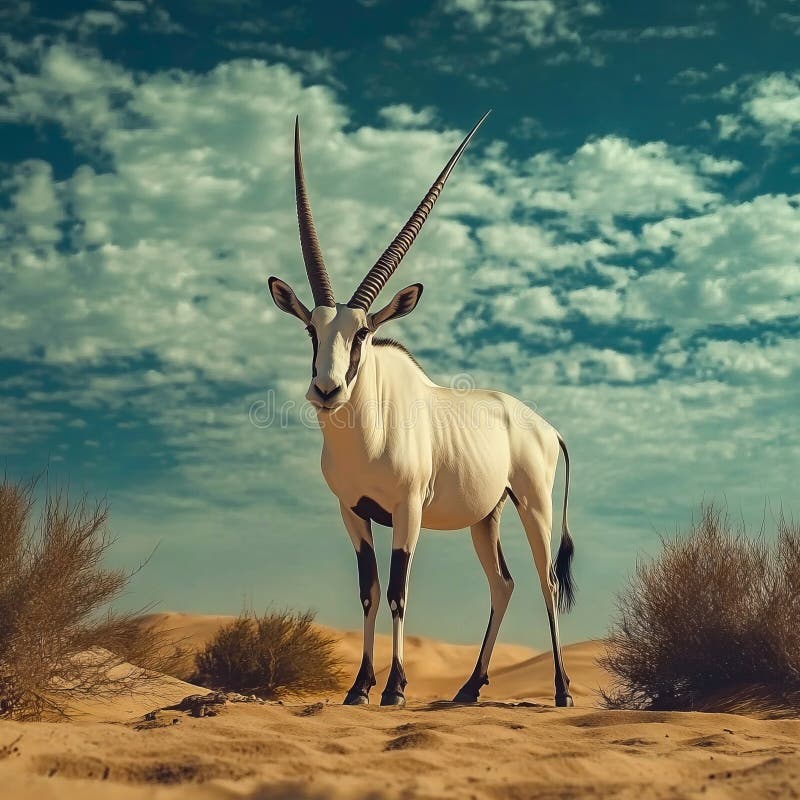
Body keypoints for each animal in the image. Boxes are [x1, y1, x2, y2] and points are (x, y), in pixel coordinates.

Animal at [267, 112, 575, 707]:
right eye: (311, 329)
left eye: (363, 331)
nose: (327, 390)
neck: (366, 431)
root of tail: (546, 428)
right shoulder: (353, 512)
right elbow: (367, 592)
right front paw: (359, 687)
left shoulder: (407, 510)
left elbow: (397, 591)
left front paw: (393, 688)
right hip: (486, 516)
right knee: (503, 583)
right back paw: (468, 688)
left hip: (534, 505)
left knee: (547, 579)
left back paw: (562, 690)